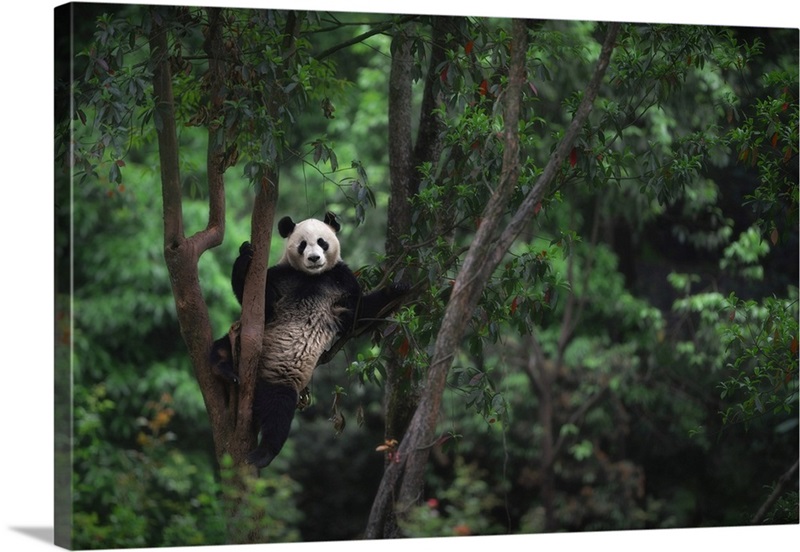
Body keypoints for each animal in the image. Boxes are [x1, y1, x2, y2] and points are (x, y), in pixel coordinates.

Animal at [211, 212, 407, 468]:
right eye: (303, 244)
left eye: (322, 242)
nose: (314, 258)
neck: (312, 277)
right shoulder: (282, 276)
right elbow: (259, 305)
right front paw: (245, 256)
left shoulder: (341, 279)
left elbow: (358, 314)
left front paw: (397, 289)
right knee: (222, 347)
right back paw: (223, 369)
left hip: (282, 372)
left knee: (278, 408)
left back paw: (264, 453)